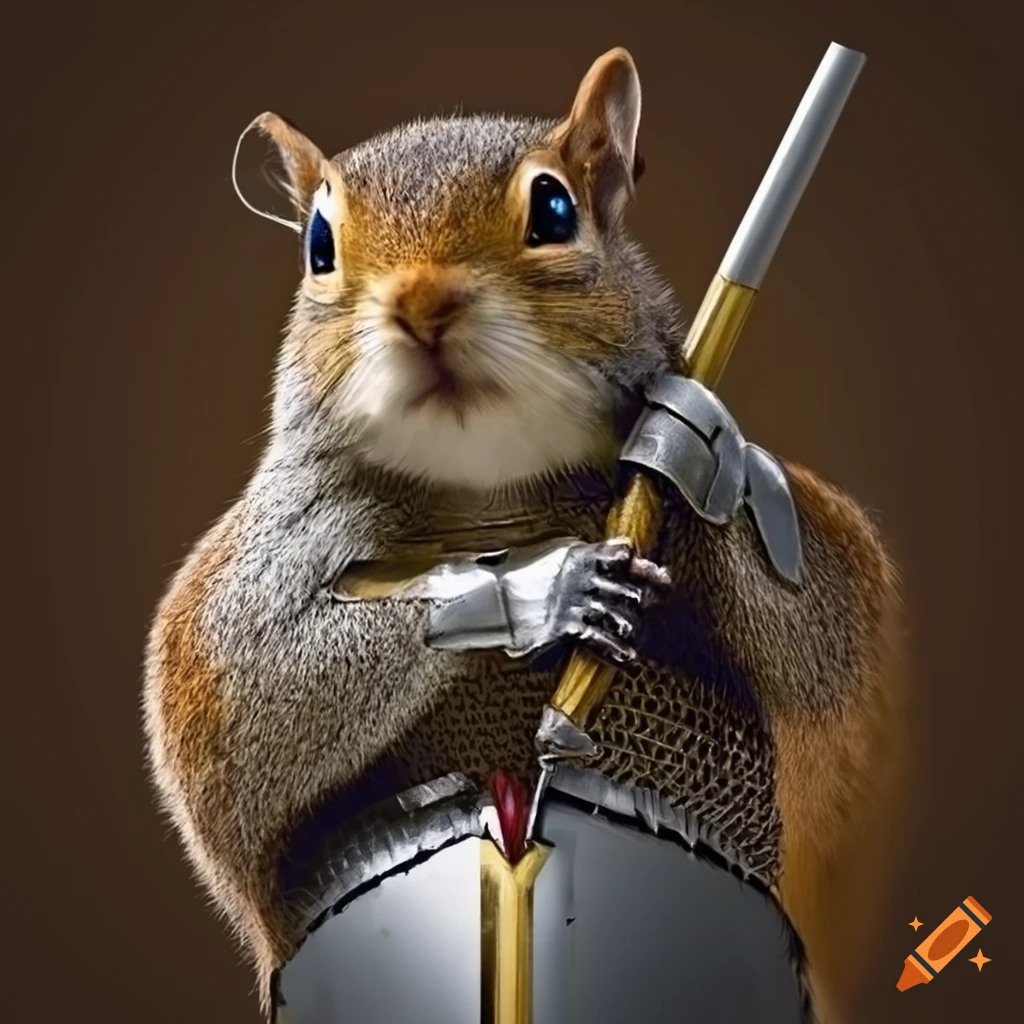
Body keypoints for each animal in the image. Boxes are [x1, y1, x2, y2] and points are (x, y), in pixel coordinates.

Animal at [143, 48, 904, 1022]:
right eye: (318, 245)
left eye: (554, 209)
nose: (423, 304)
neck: (493, 482)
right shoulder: (265, 554)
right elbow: (238, 694)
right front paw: (549, 587)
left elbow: (841, 644)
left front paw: (693, 443)